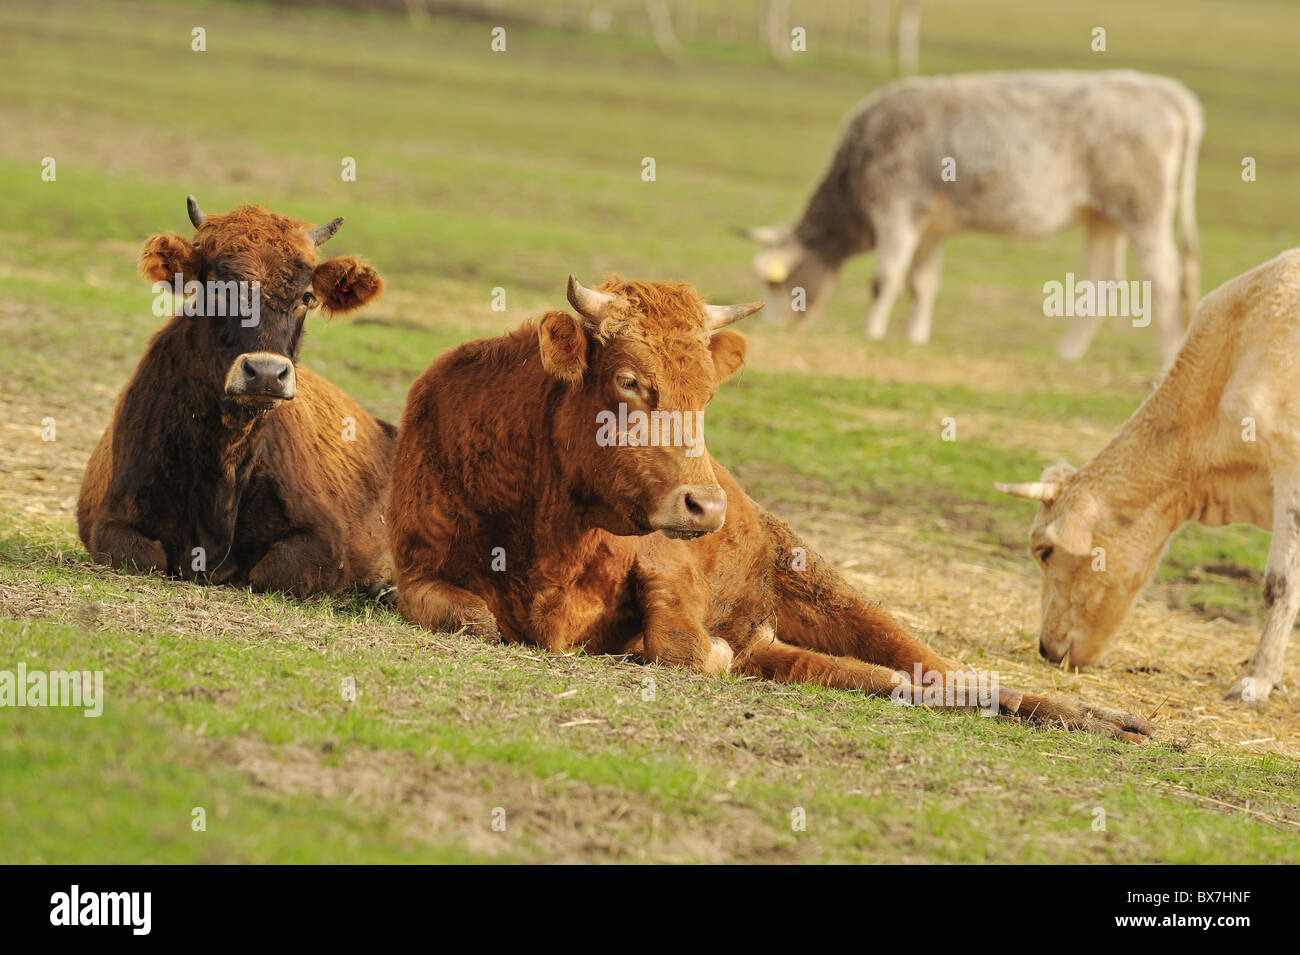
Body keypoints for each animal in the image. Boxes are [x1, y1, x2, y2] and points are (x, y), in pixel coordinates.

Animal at [77, 197, 395, 599]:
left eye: (306, 296)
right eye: (216, 288)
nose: (266, 373)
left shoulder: (324, 540)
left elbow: (272, 573)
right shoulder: (112, 521)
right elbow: (144, 558)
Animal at [388, 274, 1155, 741]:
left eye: (707, 393)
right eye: (630, 382)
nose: (705, 506)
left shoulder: (667, 563)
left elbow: (680, 646)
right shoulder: (416, 569)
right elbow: (470, 616)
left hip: (826, 587)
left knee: (940, 669)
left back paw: (1101, 717)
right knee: (883, 678)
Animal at [743, 70, 1203, 366]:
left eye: (776, 282)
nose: (772, 328)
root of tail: (1167, 92)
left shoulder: (896, 211)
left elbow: (886, 279)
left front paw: (872, 333)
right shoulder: (930, 228)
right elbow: (922, 284)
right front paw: (915, 339)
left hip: (1142, 212)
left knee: (1165, 278)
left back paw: (1166, 357)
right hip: (1102, 218)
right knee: (1102, 281)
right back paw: (1067, 354)